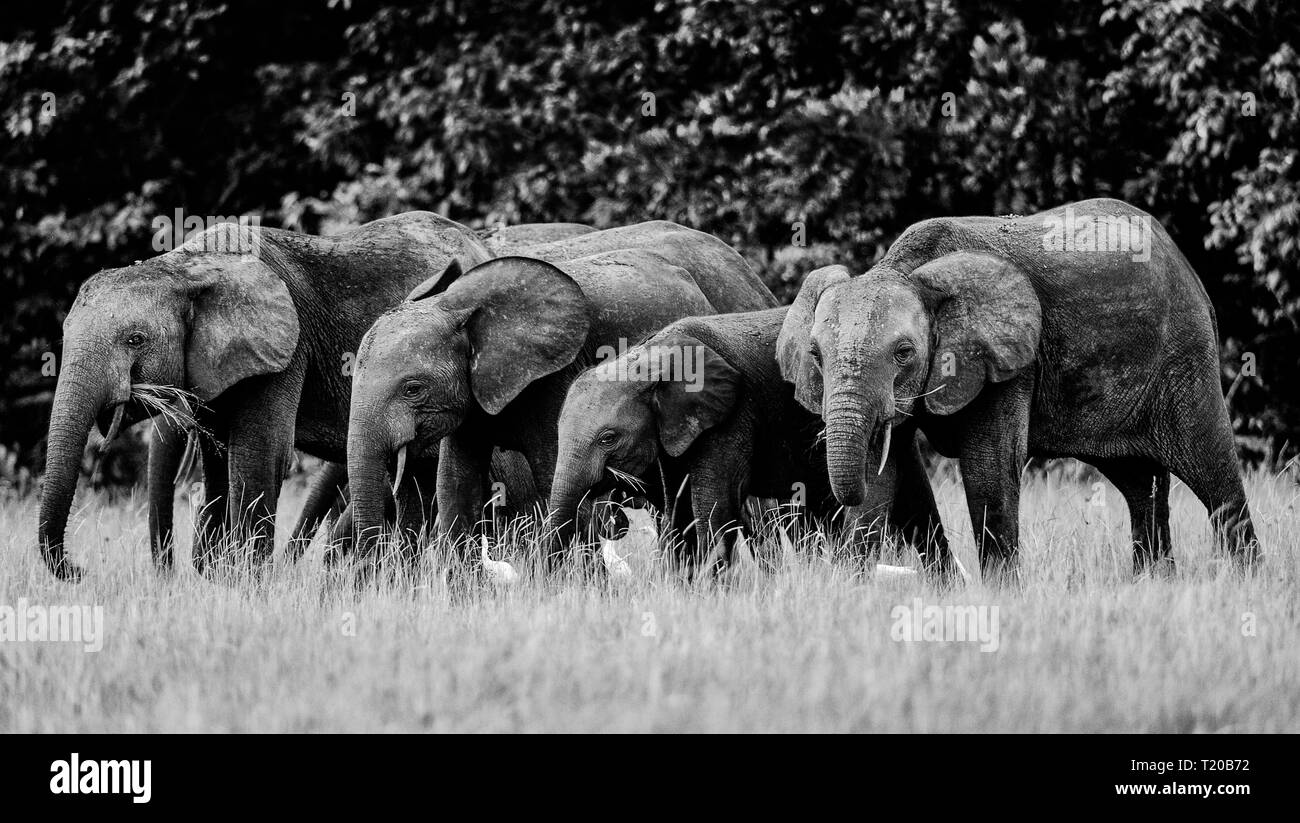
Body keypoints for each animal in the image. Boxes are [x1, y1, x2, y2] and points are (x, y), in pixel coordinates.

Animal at [37, 211, 588, 580]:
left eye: (135, 339)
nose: (79, 570)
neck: (185, 267)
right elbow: (219, 463)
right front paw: (218, 580)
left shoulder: (286, 350)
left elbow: (259, 455)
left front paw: (245, 584)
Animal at [546, 306, 951, 570]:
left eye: (608, 438)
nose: (614, 521)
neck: (646, 358)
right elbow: (678, 512)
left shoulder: (733, 414)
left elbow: (712, 504)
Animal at [776, 197, 1260, 580]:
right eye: (816, 355)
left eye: (903, 353)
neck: (909, 271)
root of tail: (1187, 267)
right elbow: (881, 473)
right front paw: (850, 589)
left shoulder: (1007, 365)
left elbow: (988, 469)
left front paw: (1000, 595)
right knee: (1141, 485)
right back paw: (1154, 583)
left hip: (1184, 352)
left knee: (1213, 473)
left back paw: (1244, 580)